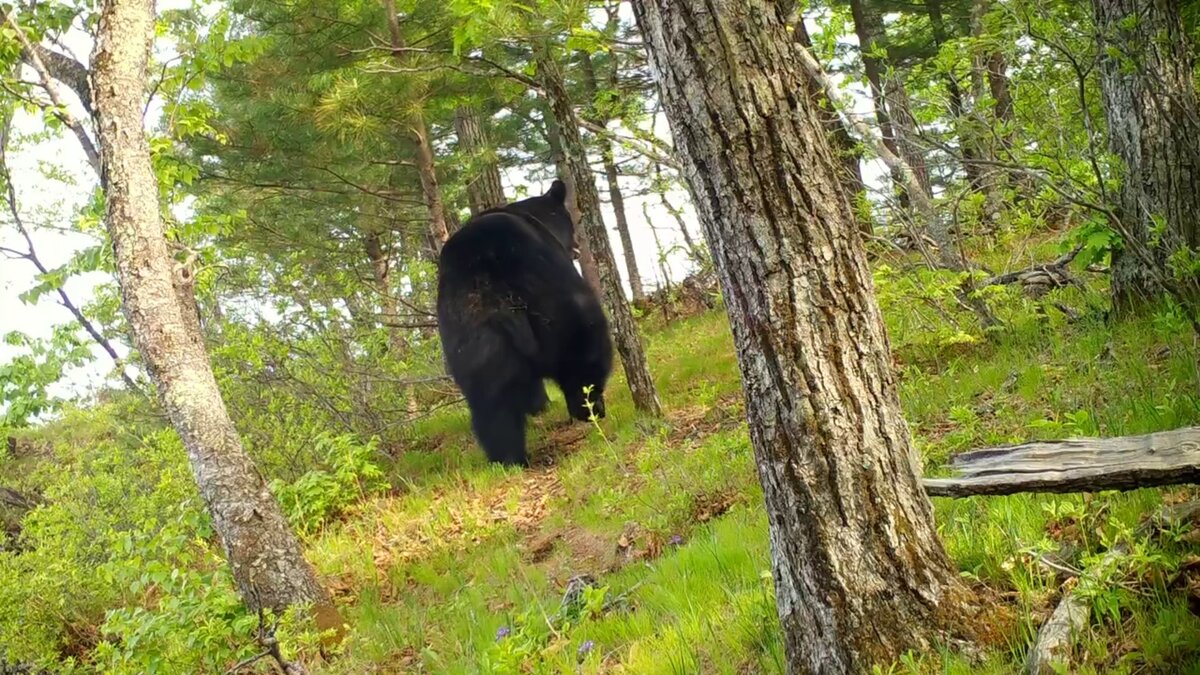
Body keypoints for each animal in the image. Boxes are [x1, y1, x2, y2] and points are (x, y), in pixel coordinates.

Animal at [436, 177, 614, 461]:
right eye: (570, 221)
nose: (576, 246)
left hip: (473, 338)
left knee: (492, 400)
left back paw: (509, 457)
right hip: (555, 299)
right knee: (584, 346)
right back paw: (590, 408)